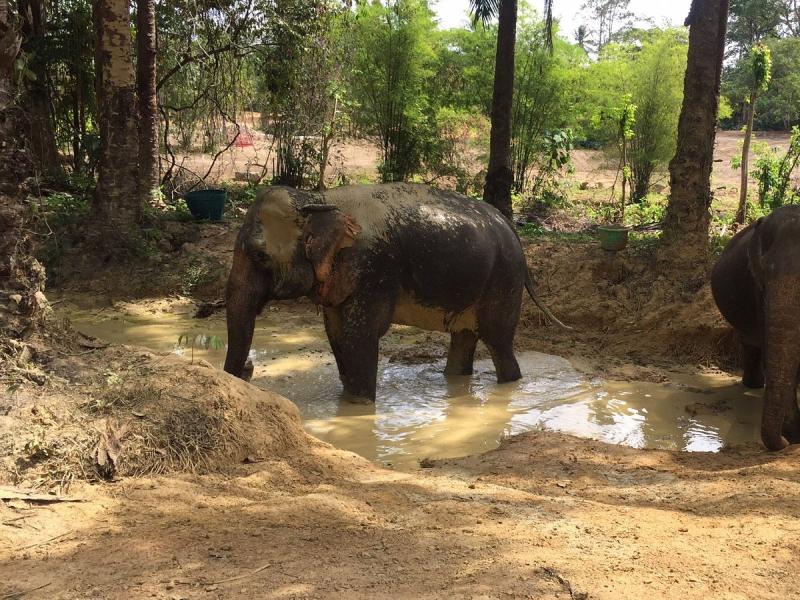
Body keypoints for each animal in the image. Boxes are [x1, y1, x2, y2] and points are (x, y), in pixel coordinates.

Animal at [223, 182, 567, 402]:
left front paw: (359, 407)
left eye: (259, 256)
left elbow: (360, 335)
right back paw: (455, 381)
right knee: (464, 336)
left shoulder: (374, 270)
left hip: (503, 278)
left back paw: (510, 385)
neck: (318, 197)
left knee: (498, 340)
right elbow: (336, 333)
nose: (249, 368)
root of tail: (510, 227)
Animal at [711, 205, 800, 450]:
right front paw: (794, 435)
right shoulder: (759, 292)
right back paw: (754, 384)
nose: (784, 443)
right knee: (751, 343)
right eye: (765, 274)